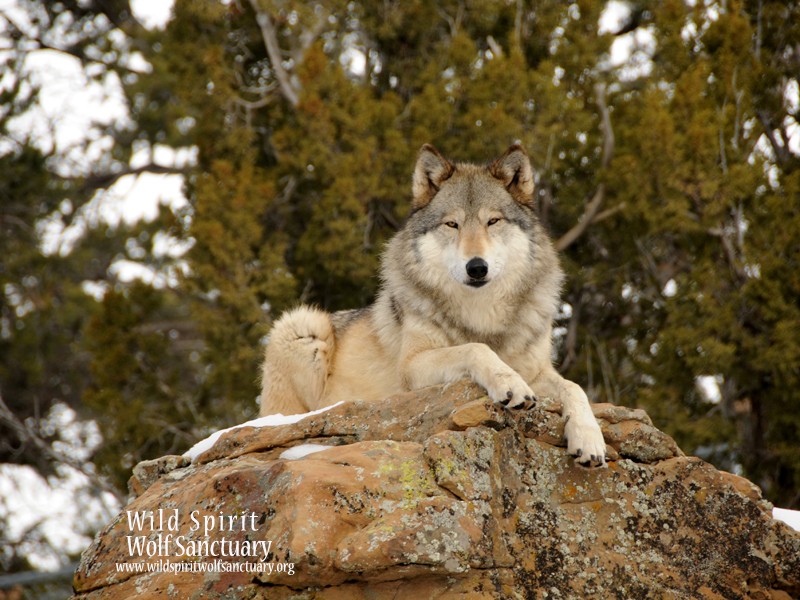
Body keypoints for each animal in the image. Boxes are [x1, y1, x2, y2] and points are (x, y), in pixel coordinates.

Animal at [259, 144, 607, 467]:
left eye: (493, 221)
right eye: (452, 224)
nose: (476, 267)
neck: (482, 314)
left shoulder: (539, 371)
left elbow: (574, 387)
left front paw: (589, 439)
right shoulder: (411, 368)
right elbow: (475, 348)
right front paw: (508, 383)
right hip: (302, 326)